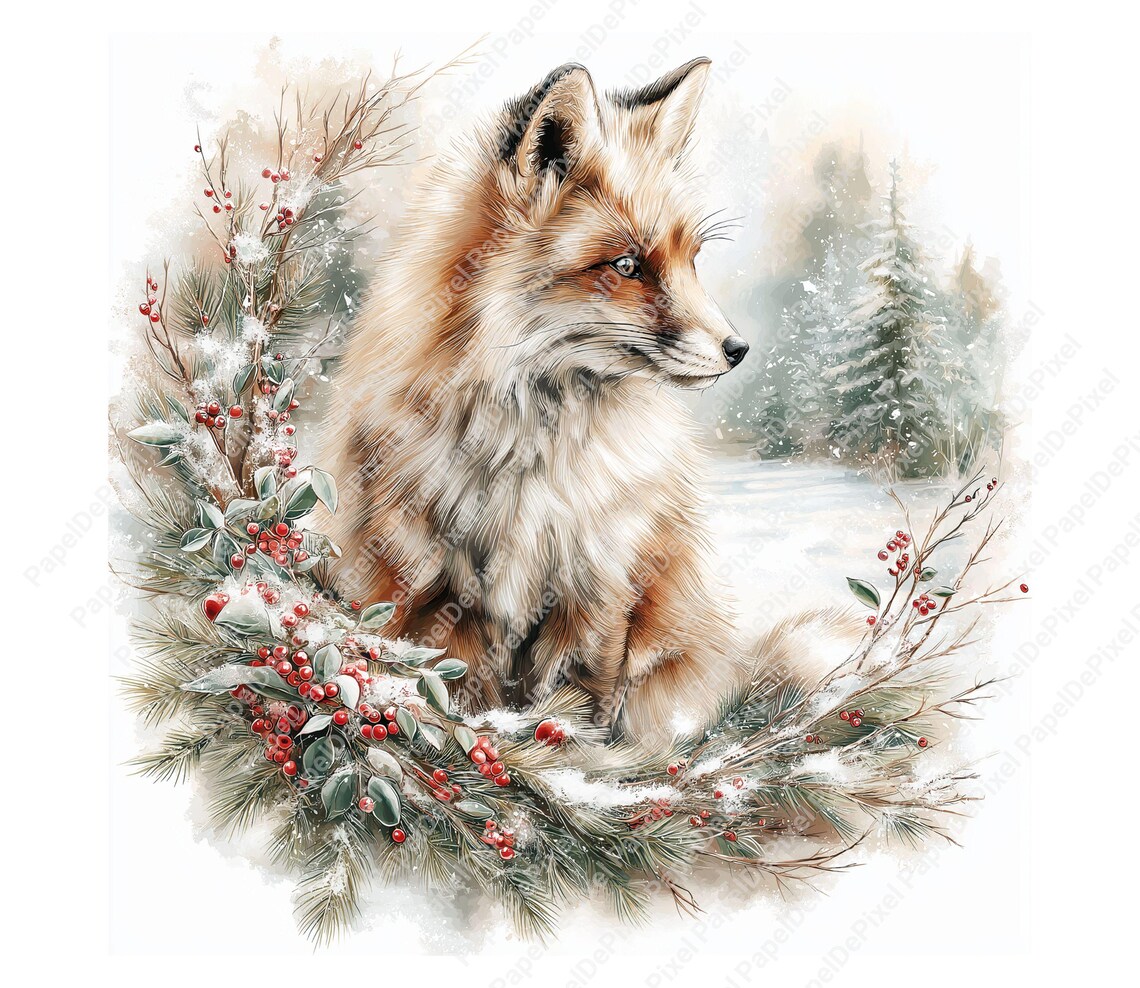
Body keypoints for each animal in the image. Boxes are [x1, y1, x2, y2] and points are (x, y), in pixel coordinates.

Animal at [322, 58, 853, 743]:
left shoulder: (598, 591)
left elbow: (578, 709)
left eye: (692, 259)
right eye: (626, 266)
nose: (738, 349)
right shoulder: (431, 592)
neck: (528, 467)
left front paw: (584, 760)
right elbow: (457, 695)